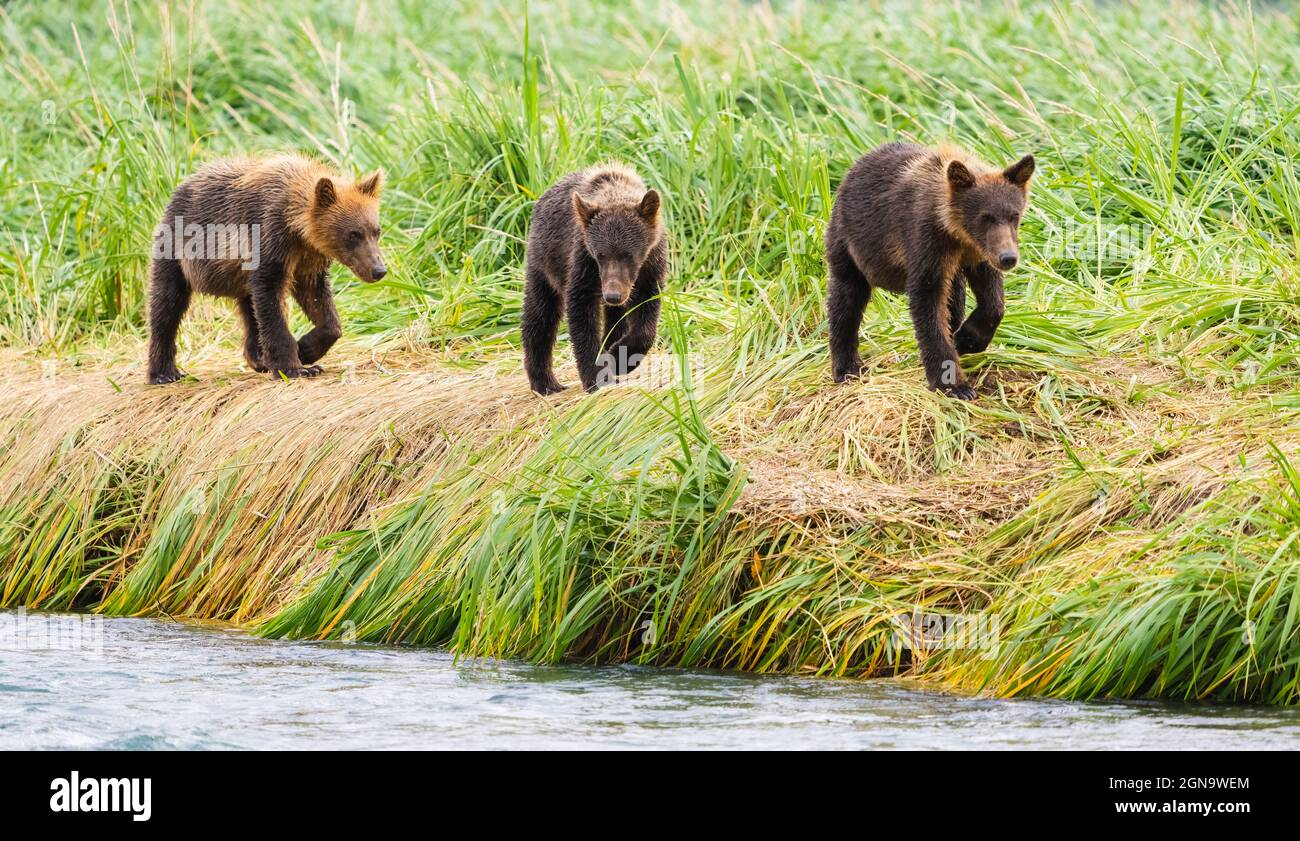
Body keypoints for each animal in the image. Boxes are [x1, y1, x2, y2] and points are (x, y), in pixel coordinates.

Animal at [146, 154, 386, 384]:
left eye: (376, 231)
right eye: (353, 234)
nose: (379, 270)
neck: (295, 226)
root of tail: (182, 185)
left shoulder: (308, 260)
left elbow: (319, 302)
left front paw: (307, 349)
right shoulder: (270, 239)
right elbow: (271, 300)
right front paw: (295, 367)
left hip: (238, 275)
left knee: (249, 308)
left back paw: (259, 358)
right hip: (177, 250)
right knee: (167, 304)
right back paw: (164, 373)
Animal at [521, 163, 667, 394]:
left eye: (629, 254)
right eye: (600, 255)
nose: (613, 295)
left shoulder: (651, 265)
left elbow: (646, 314)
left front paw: (618, 357)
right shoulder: (583, 261)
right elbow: (581, 314)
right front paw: (597, 377)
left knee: (615, 318)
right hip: (543, 262)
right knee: (541, 313)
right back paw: (545, 383)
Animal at [824, 142, 1034, 399]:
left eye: (1014, 215)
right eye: (986, 217)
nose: (1008, 257)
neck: (954, 230)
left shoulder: (975, 253)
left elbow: (991, 299)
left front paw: (967, 340)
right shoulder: (927, 242)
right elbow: (928, 305)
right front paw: (955, 385)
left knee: (955, 299)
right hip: (848, 243)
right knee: (846, 298)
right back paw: (847, 368)